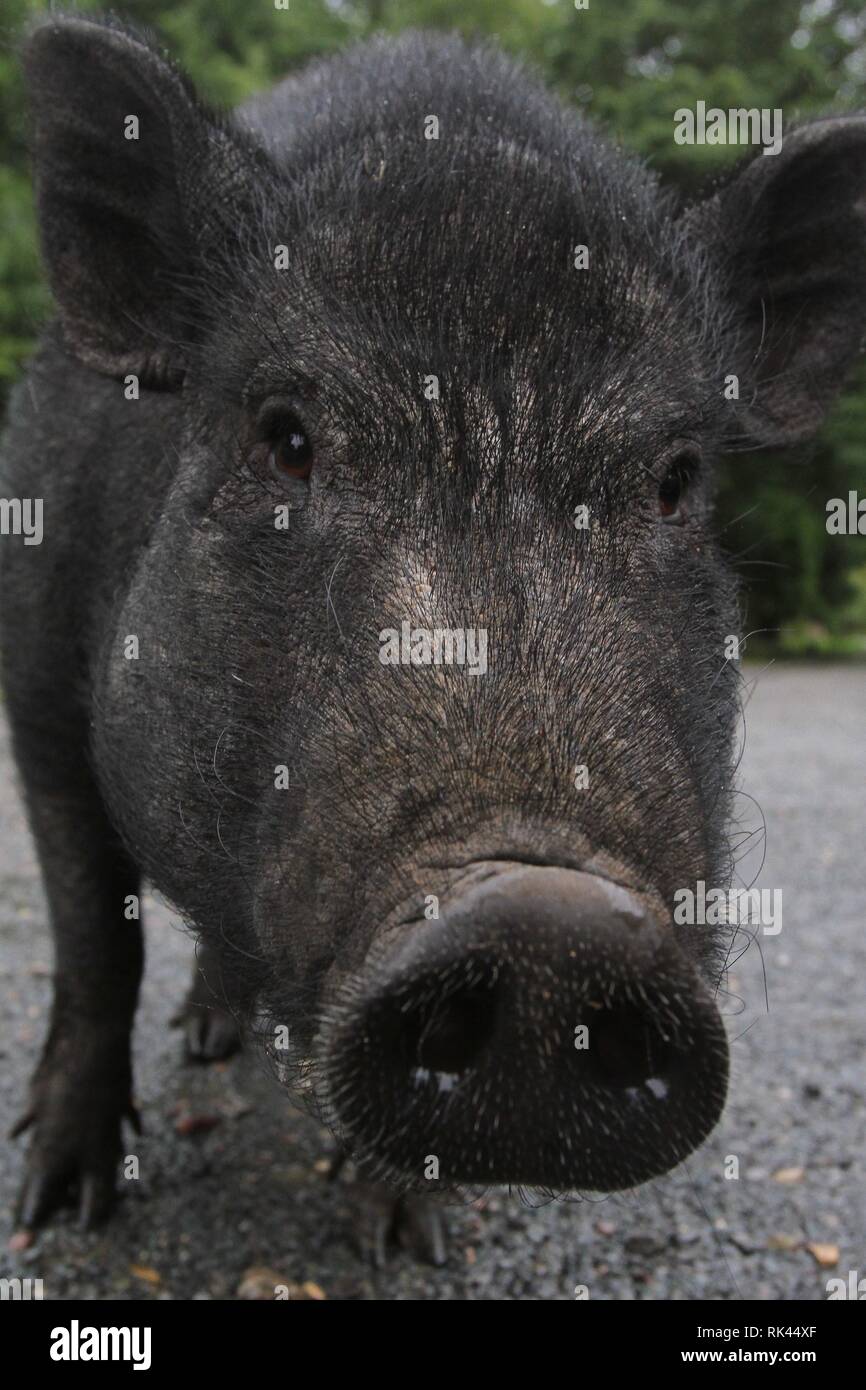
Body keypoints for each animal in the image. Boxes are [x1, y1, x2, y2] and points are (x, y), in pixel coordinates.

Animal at [2, 11, 865, 1261]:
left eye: (674, 481)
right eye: (287, 439)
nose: (549, 923)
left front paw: (405, 1241)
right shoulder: (36, 676)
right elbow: (92, 941)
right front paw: (58, 1212)